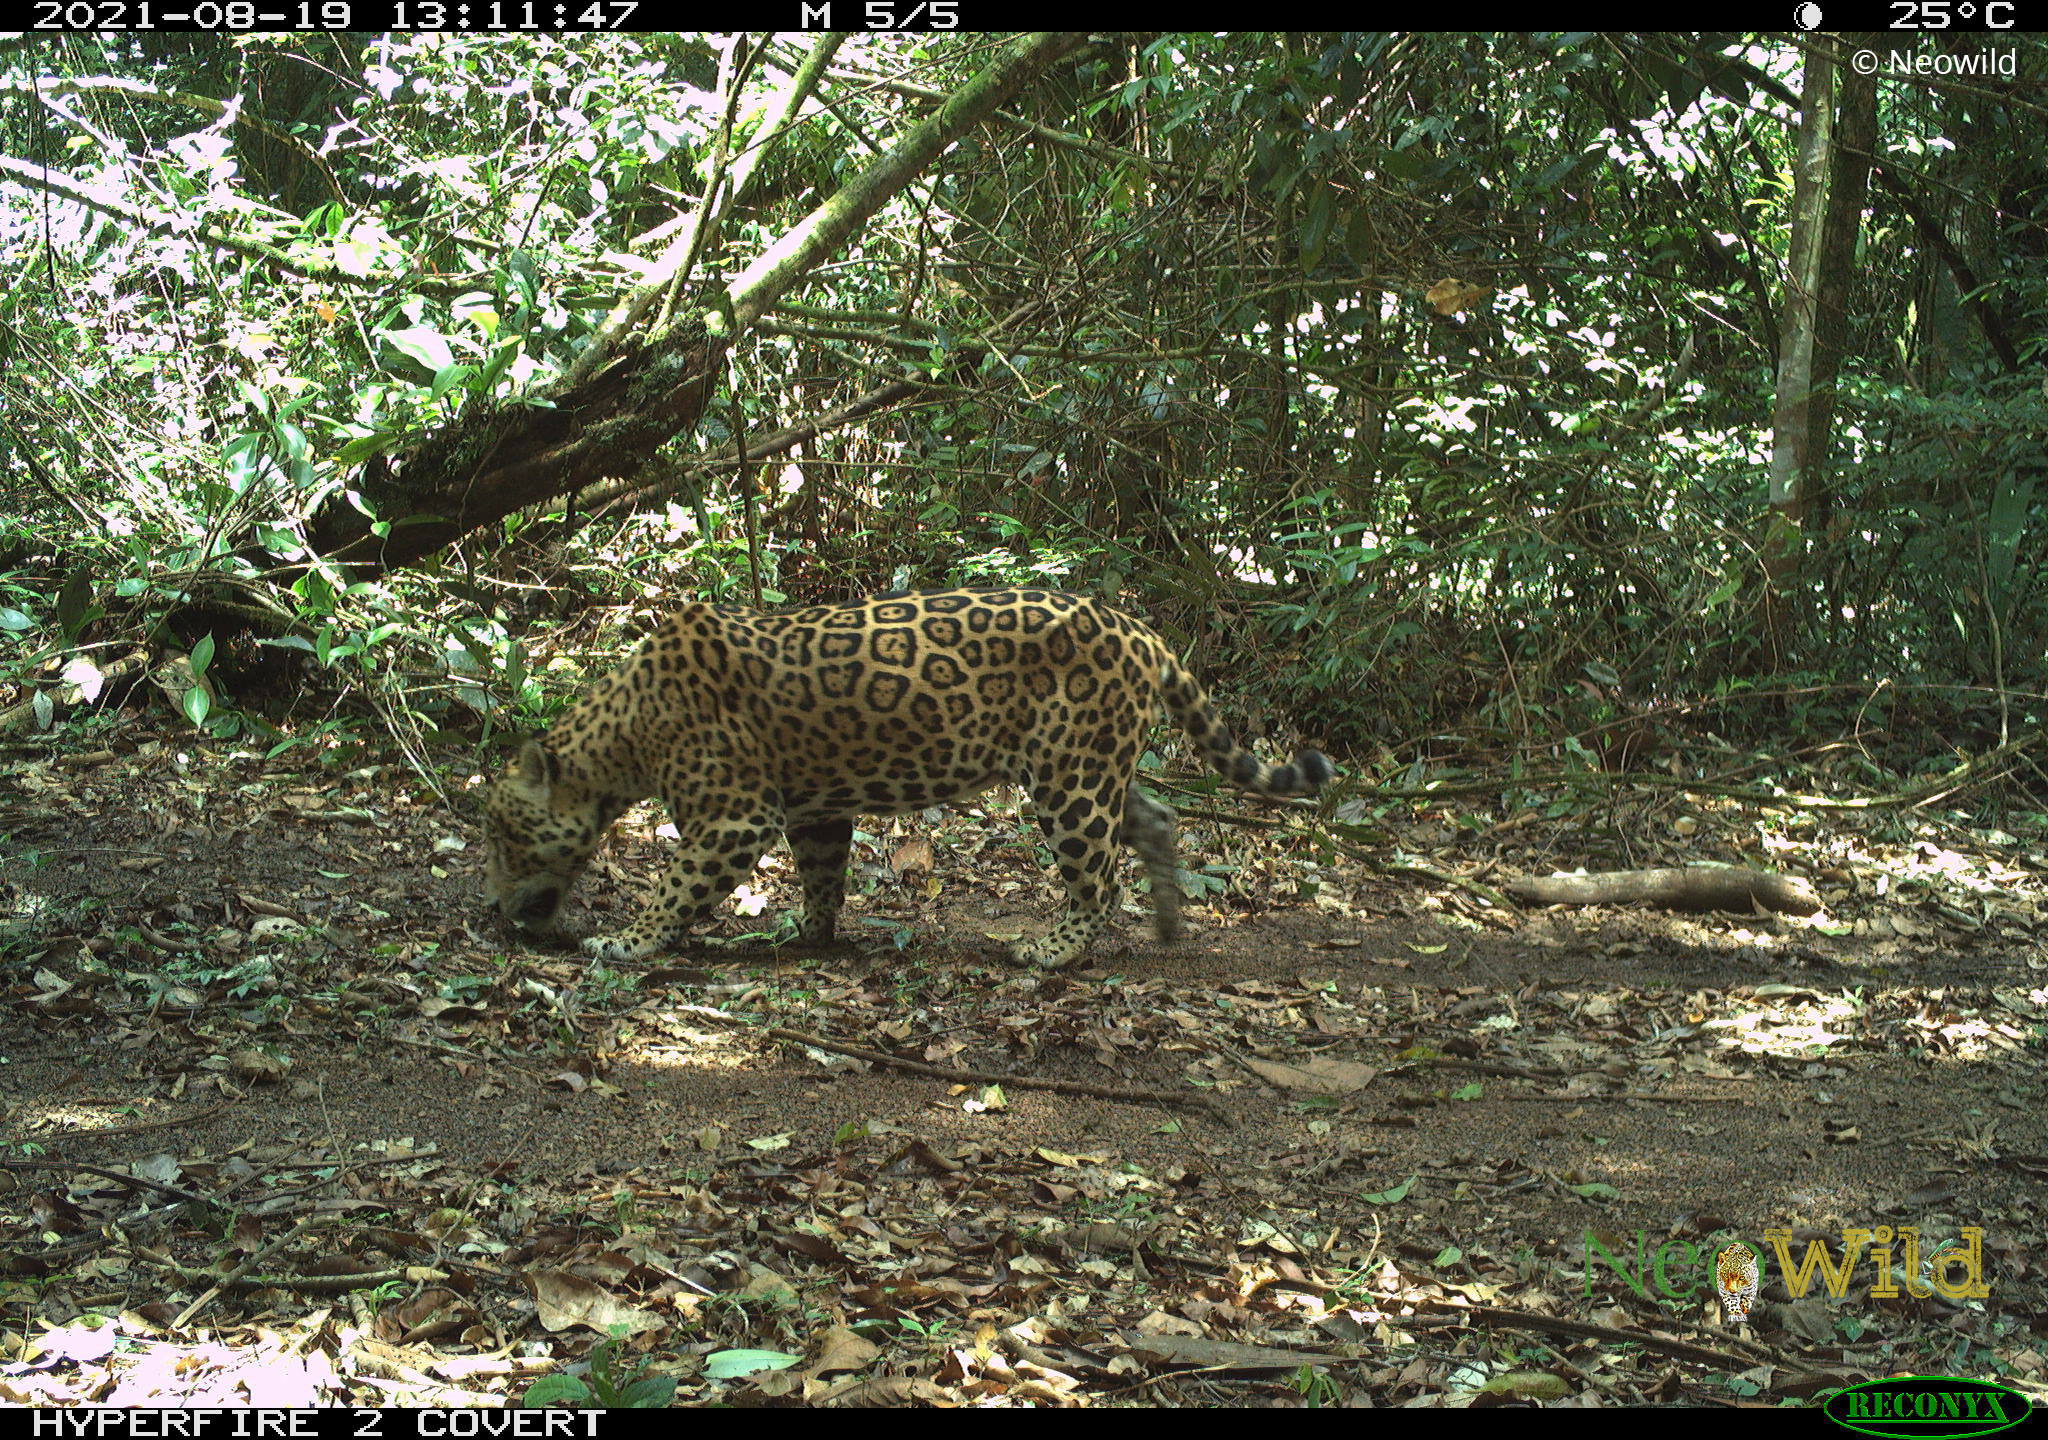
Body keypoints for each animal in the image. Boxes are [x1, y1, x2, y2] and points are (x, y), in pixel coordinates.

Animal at [482, 587, 1331, 969]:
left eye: (505, 837)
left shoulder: (734, 818)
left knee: (1096, 875)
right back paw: (1168, 925)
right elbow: (822, 875)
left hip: (1068, 776)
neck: (623, 734)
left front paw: (629, 939)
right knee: (1157, 819)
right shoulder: (812, 810)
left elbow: (673, 884)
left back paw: (1053, 950)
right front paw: (806, 934)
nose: (496, 910)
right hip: (1091, 764)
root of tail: (1139, 629)